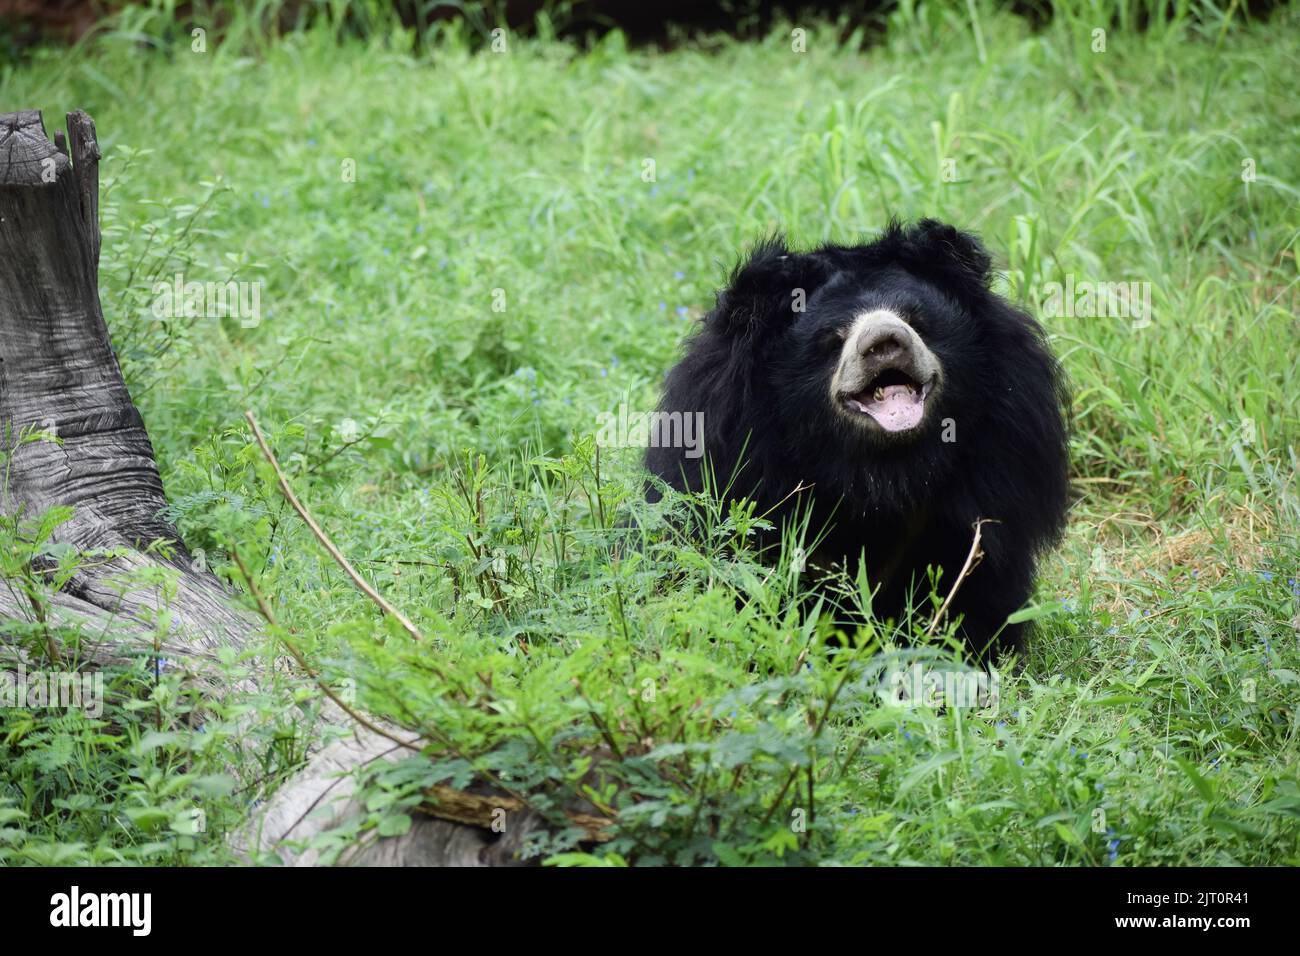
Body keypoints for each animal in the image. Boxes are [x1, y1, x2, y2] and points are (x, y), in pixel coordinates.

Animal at [645, 219, 1070, 660]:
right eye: (833, 338)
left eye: (915, 319)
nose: (884, 341)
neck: (878, 471)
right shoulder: (732, 465)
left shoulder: (995, 467)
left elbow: (973, 585)